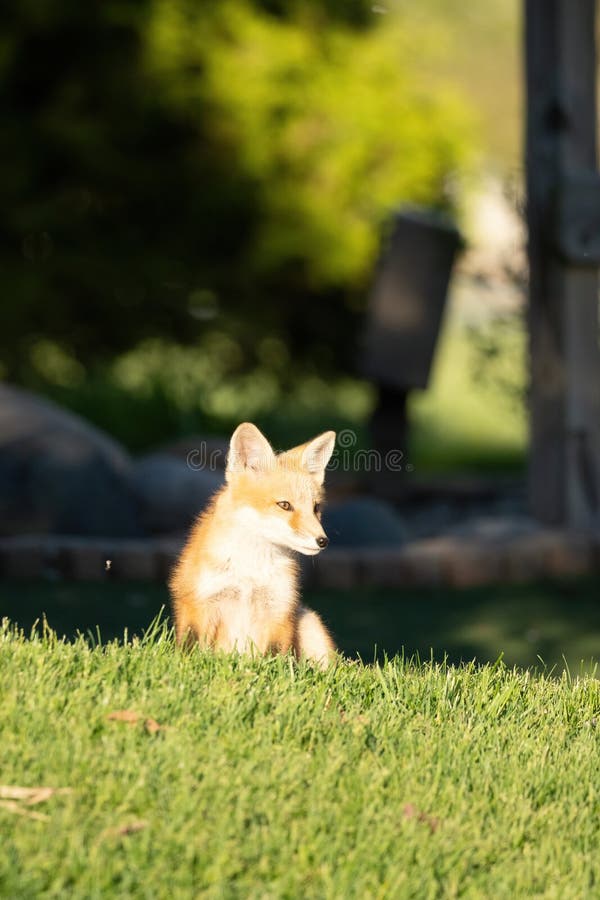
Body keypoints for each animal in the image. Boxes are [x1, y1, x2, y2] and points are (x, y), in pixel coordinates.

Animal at [169, 422, 337, 665]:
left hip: (308, 621)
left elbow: (274, 658)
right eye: (284, 505)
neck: (250, 571)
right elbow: (191, 650)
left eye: (316, 508)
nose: (322, 541)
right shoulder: (200, 604)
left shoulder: (280, 610)